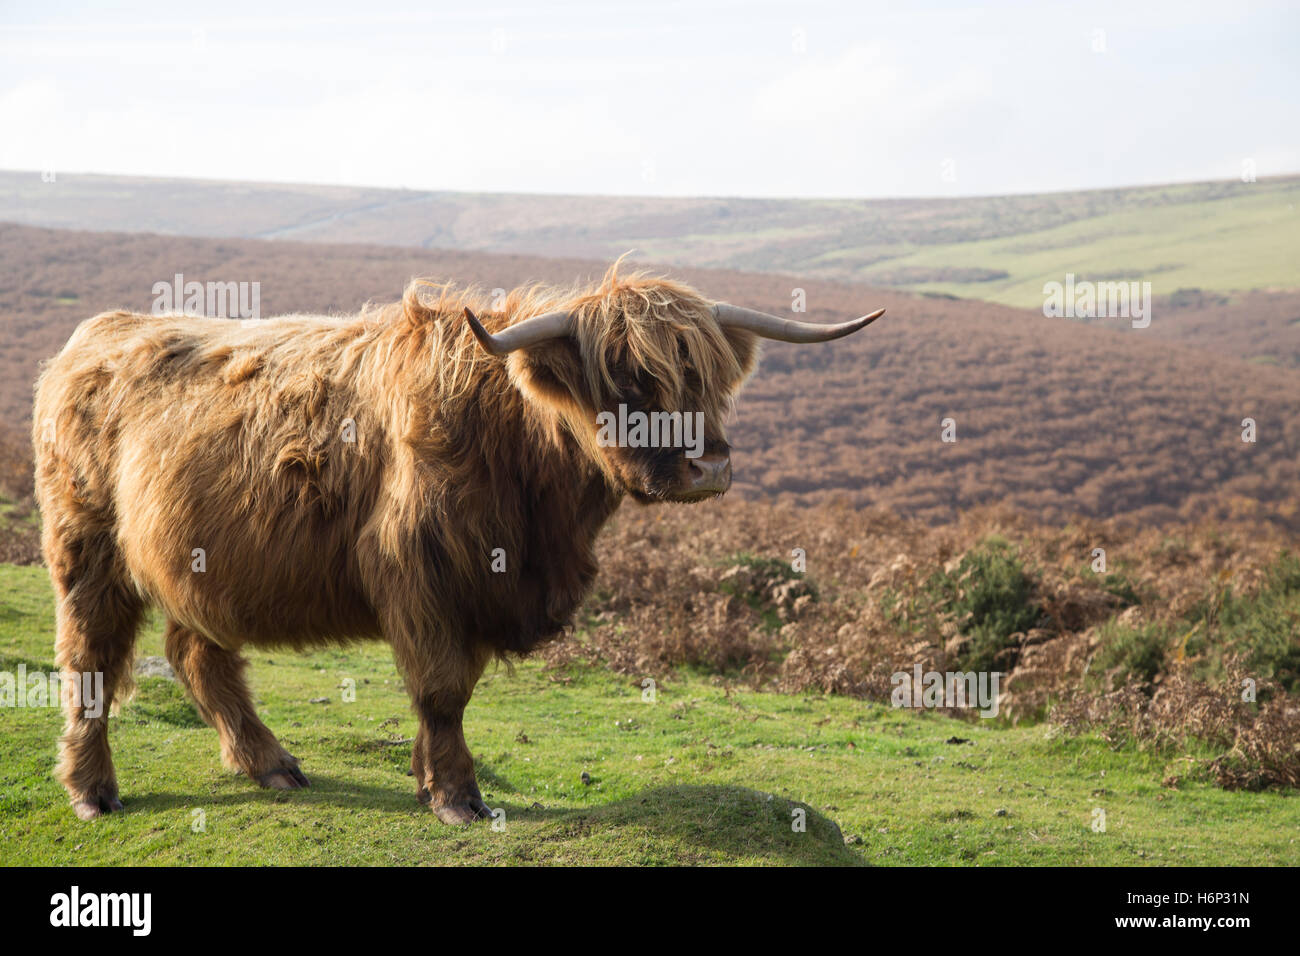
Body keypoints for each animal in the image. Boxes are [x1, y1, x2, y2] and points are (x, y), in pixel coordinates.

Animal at [32, 263, 883, 823]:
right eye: (626, 378)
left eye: (705, 376)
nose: (707, 467)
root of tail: (94, 335)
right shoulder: (424, 576)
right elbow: (443, 691)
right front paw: (456, 797)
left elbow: (449, 693)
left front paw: (424, 779)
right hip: (86, 549)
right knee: (90, 660)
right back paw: (92, 790)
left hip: (201, 564)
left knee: (197, 654)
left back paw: (269, 763)